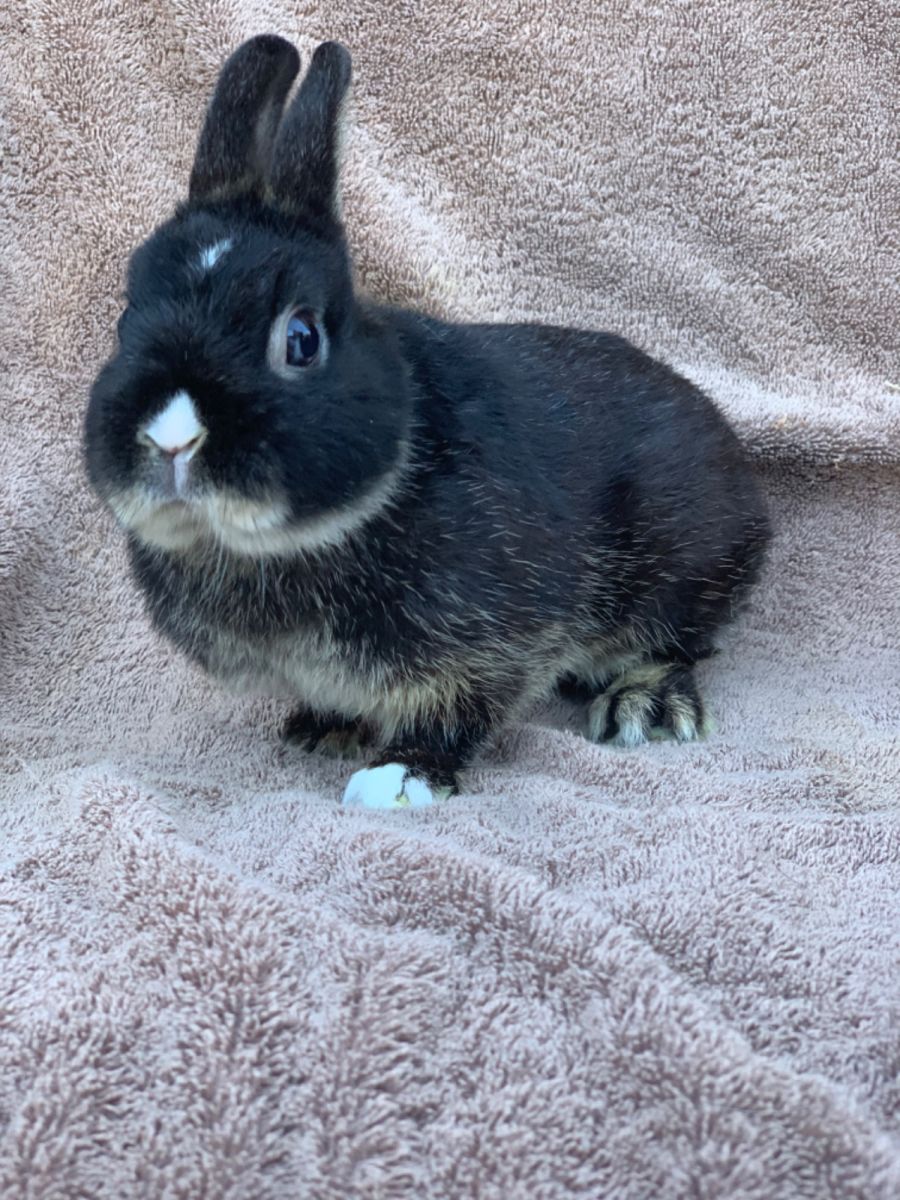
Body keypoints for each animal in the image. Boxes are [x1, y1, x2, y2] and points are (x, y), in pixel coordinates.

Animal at [84, 35, 770, 810]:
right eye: (124, 321)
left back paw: (641, 707)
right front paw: (324, 729)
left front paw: (397, 780)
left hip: (676, 573)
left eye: (301, 339)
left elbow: (460, 710)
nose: (170, 437)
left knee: (677, 645)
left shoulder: (491, 640)